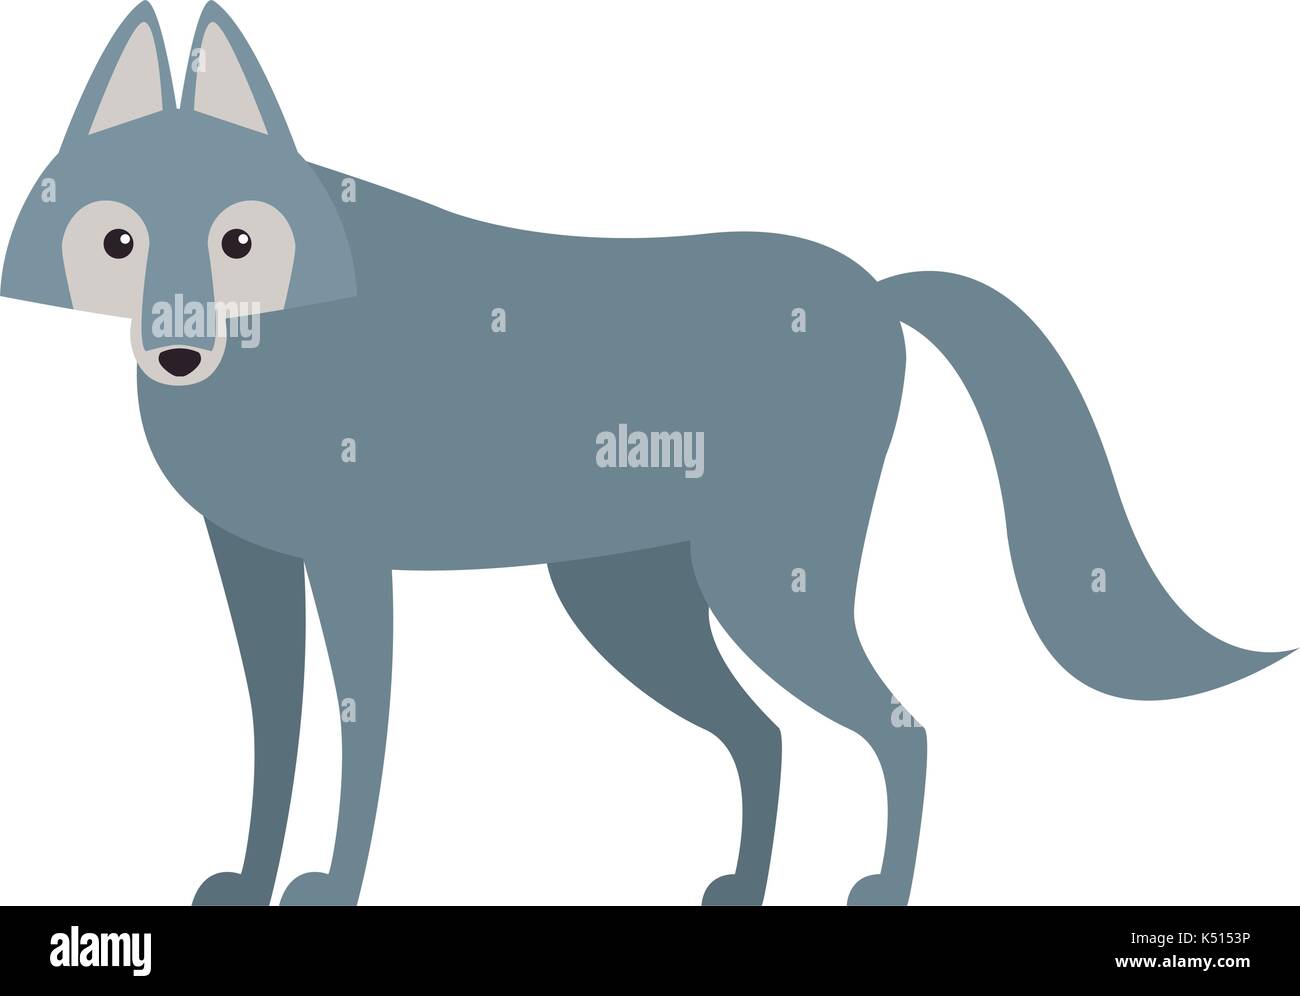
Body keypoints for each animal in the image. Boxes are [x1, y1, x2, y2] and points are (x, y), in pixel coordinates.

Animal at [1, 2, 1289, 905]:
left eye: (237, 242)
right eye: (117, 242)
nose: (178, 352)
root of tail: (876, 289)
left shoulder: (354, 571)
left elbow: (359, 743)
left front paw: (333, 887)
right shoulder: (249, 564)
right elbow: (275, 736)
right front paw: (248, 882)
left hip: (765, 594)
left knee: (904, 728)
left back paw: (881, 889)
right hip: (634, 607)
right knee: (768, 736)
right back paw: (748, 888)